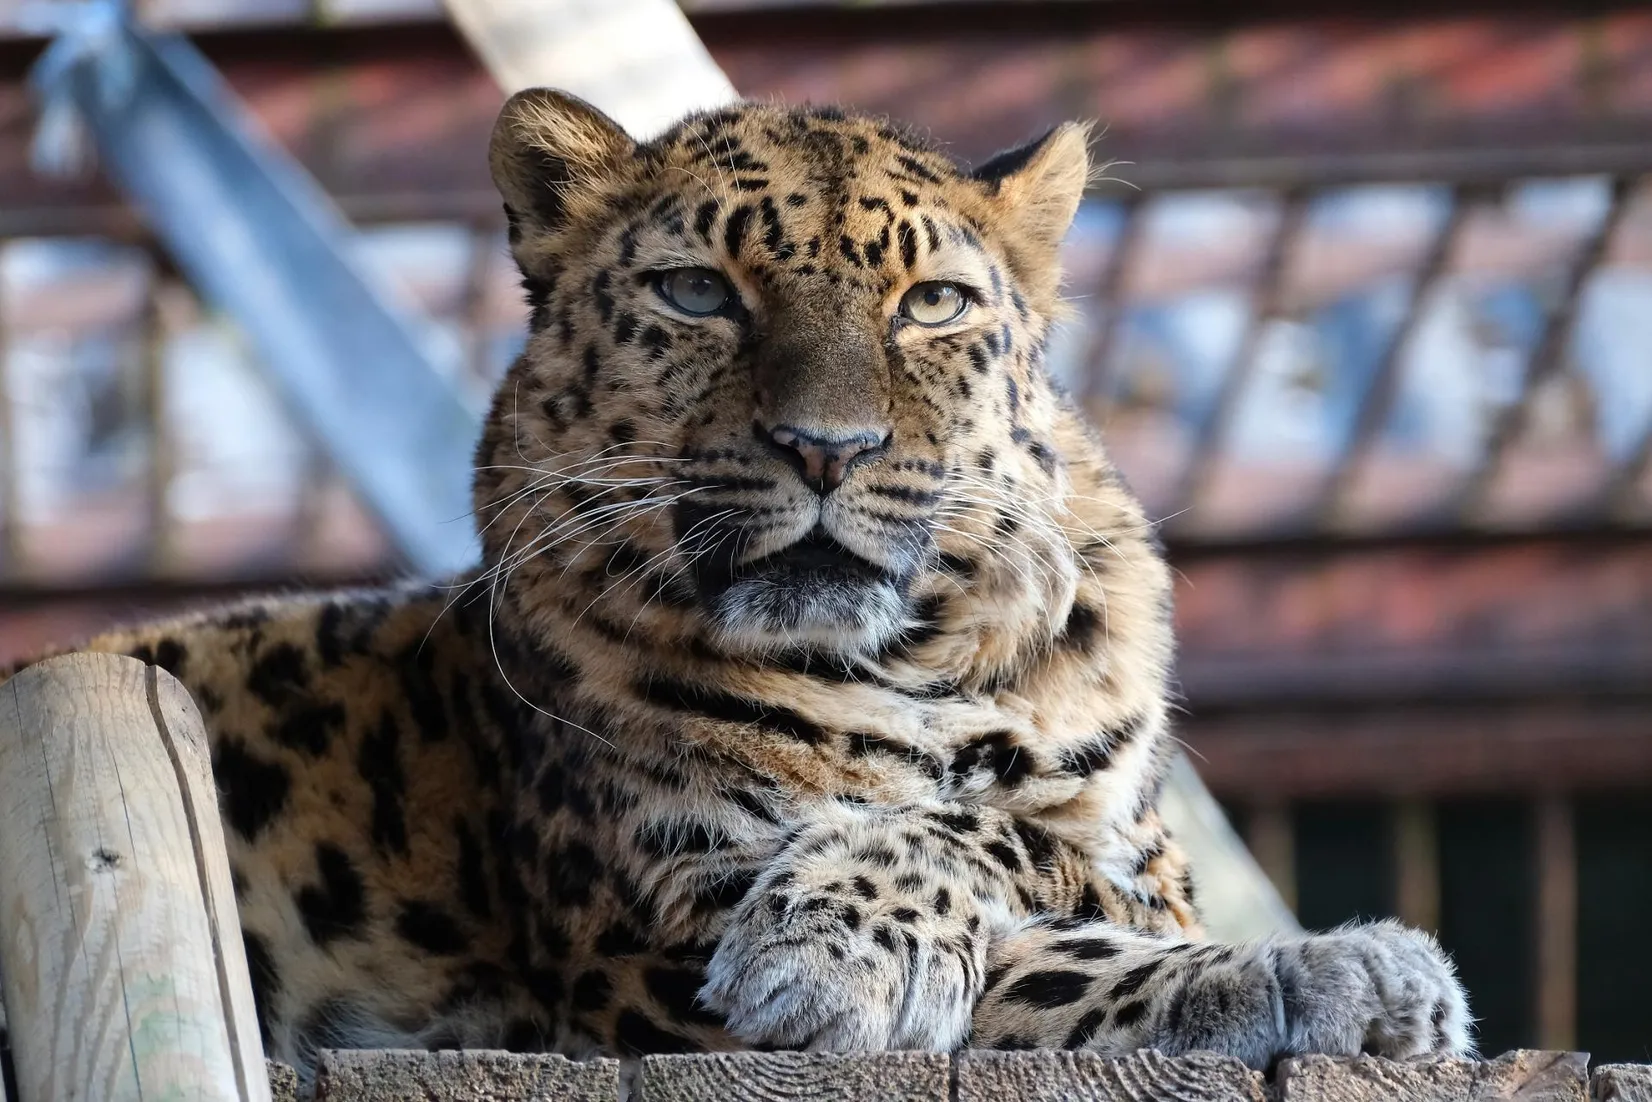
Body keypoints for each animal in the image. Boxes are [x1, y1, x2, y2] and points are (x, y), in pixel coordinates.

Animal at [6, 89, 1471, 1083]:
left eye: (931, 304)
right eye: (699, 292)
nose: (828, 447)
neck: (909, 664)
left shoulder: (1142, 850)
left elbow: (1025, 837)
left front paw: (1354, 974)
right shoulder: (654, 937)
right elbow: (1026, 915)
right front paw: (1345, 970)